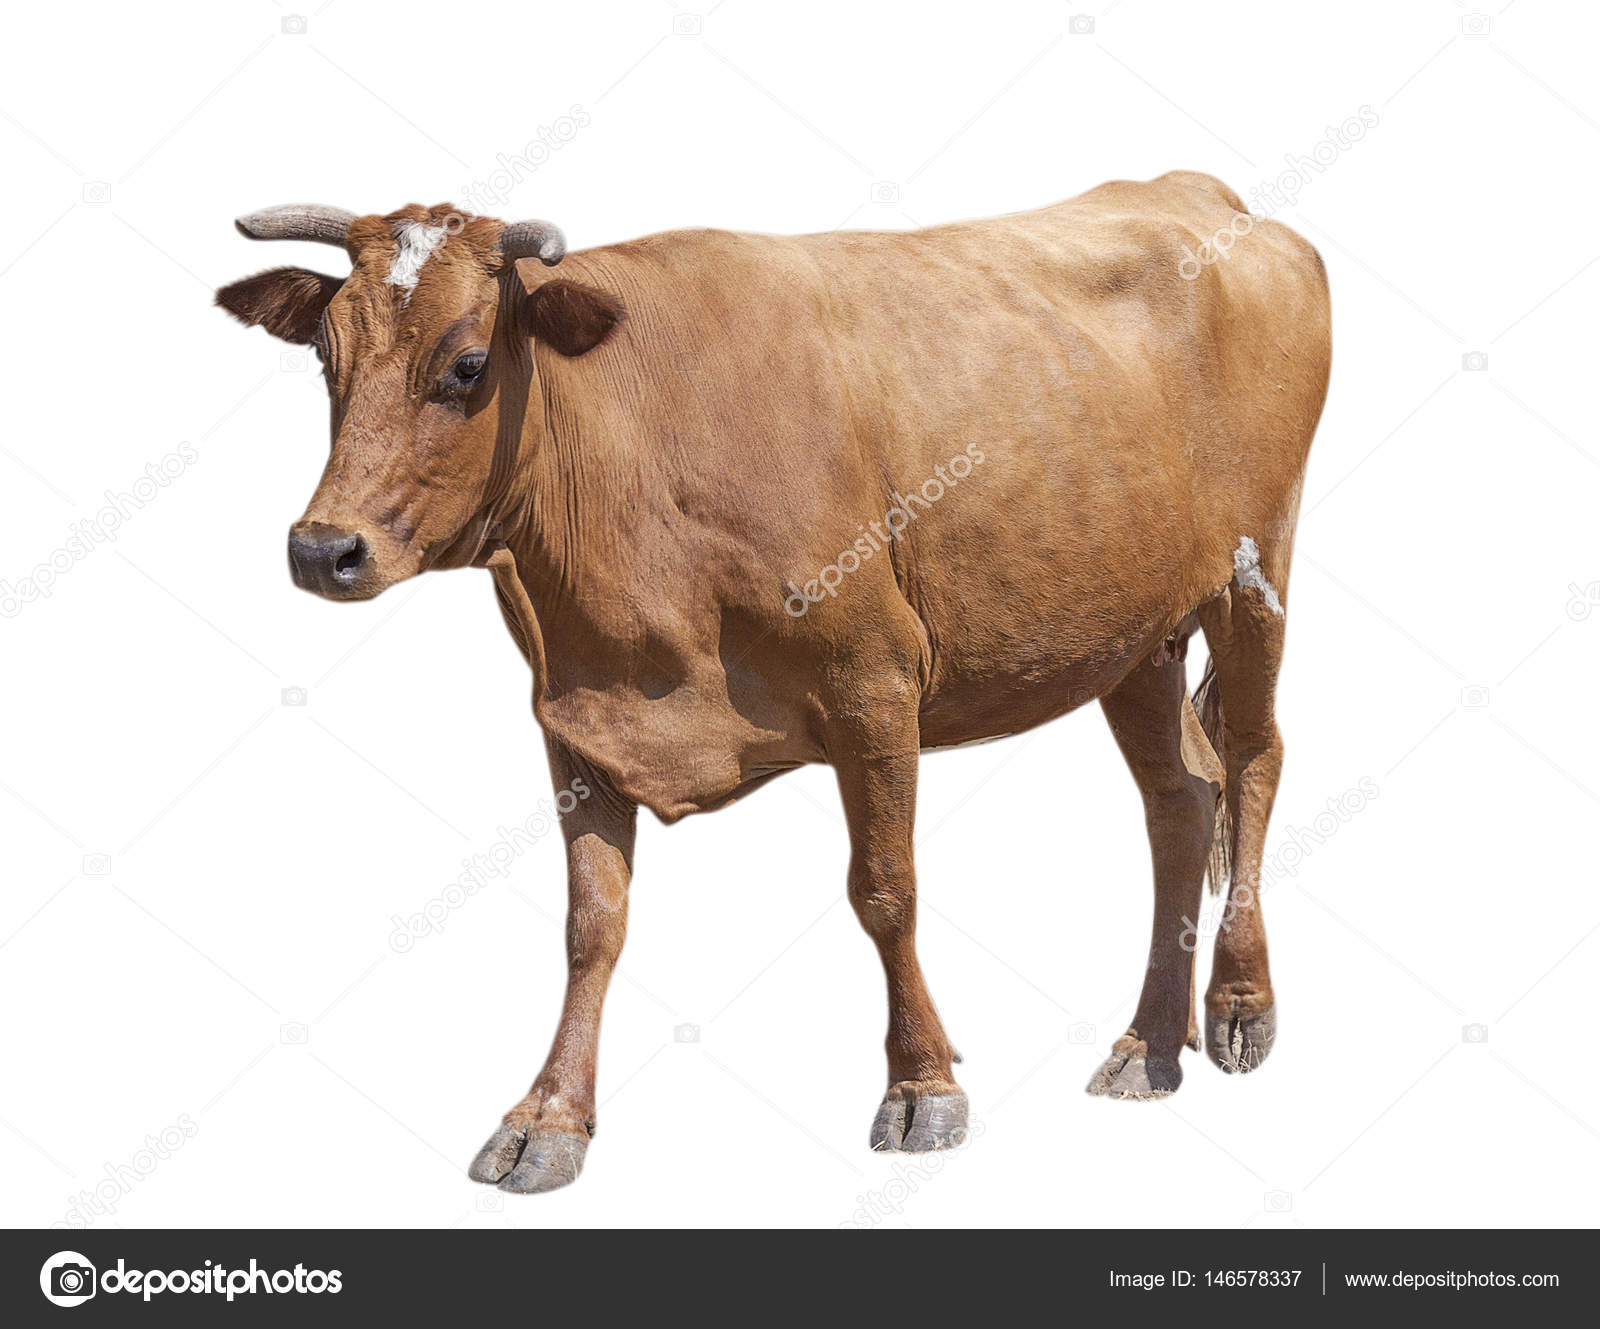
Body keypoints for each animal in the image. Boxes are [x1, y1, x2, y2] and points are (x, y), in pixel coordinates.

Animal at [217, 172, 1331, 1193]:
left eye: (467, 364)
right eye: (326, 358)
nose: (322, 549)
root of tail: (1198, 193)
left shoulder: (874, 682)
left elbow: (885, 891)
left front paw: (922, 1087)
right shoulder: (573, 718)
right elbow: (591, 922)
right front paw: (548, 1118)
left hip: (1254, 568)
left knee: (1255, 757)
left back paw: (1239, 1004)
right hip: (1131, 626)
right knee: (1180, 799)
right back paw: (1148, 1045)